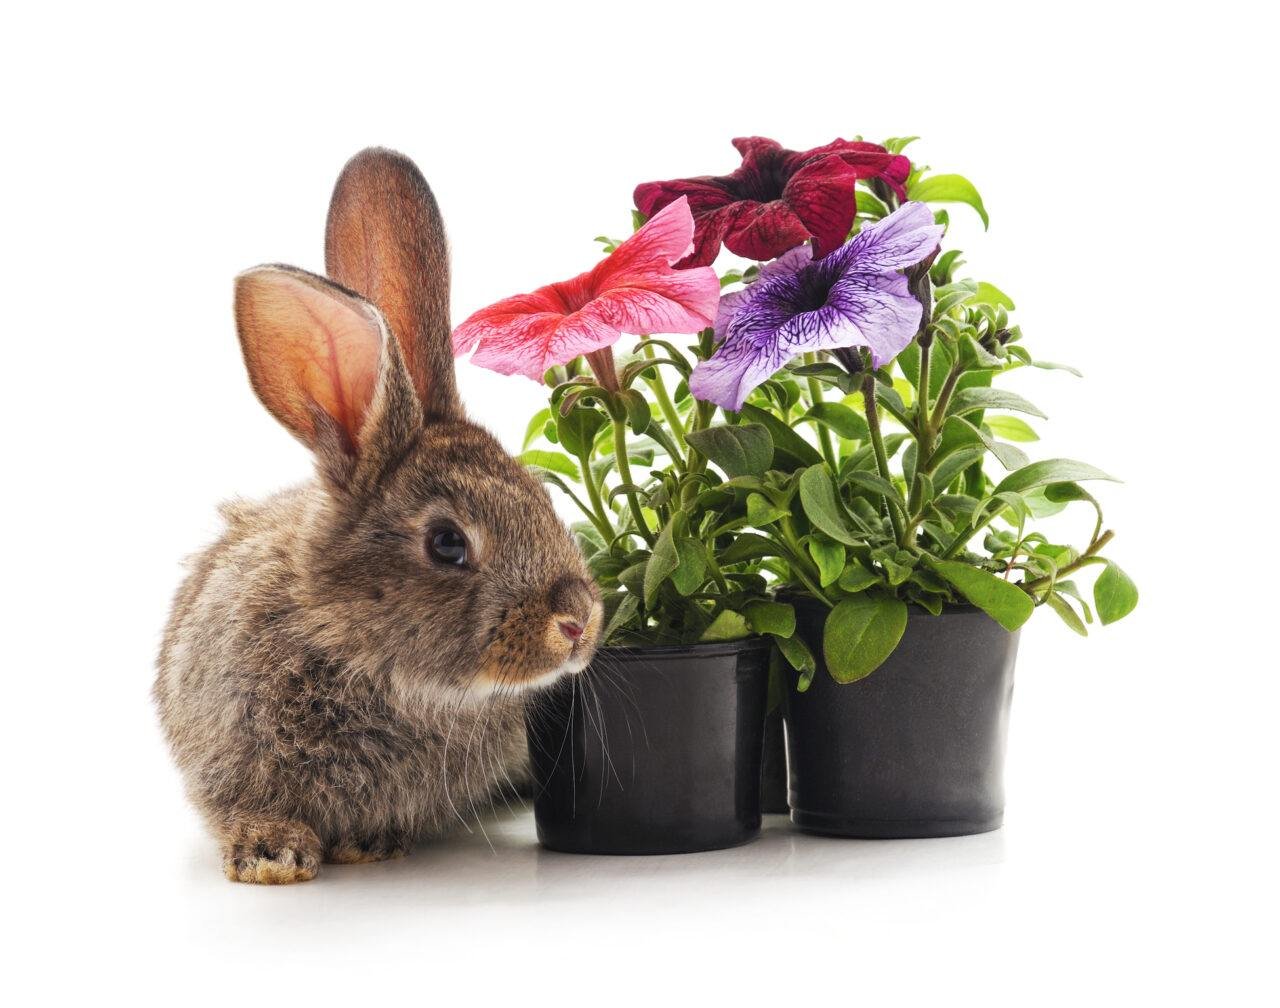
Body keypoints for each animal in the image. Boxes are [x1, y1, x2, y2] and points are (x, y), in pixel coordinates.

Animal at [155, 148, 603, 884]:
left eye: (543, 500)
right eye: (447, 543)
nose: (577, 623)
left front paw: (369, 844)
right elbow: (242, 808)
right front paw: (271, 855)